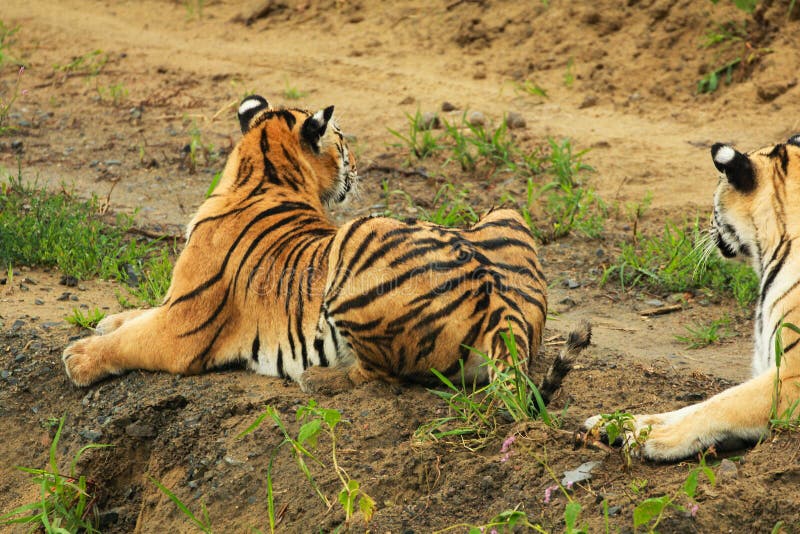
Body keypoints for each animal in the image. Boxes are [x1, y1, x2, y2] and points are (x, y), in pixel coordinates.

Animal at [62, 94, 590, 401]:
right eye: (343, 141)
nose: (357, 169)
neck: (264, 175)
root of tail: (503, 307)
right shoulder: (174, 306)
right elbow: (136, 318)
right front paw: (108, 322)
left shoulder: (183, 329)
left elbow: (133, 339)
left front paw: (81, 358)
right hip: (504, 212)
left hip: (360, 238)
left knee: (381, 376)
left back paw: (315, 379)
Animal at [585, 135, 800, 461]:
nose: (705, 227)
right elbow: (697, 404)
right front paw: (621, 423)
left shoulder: (790, 376)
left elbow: (722, 404)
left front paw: (654, 439)